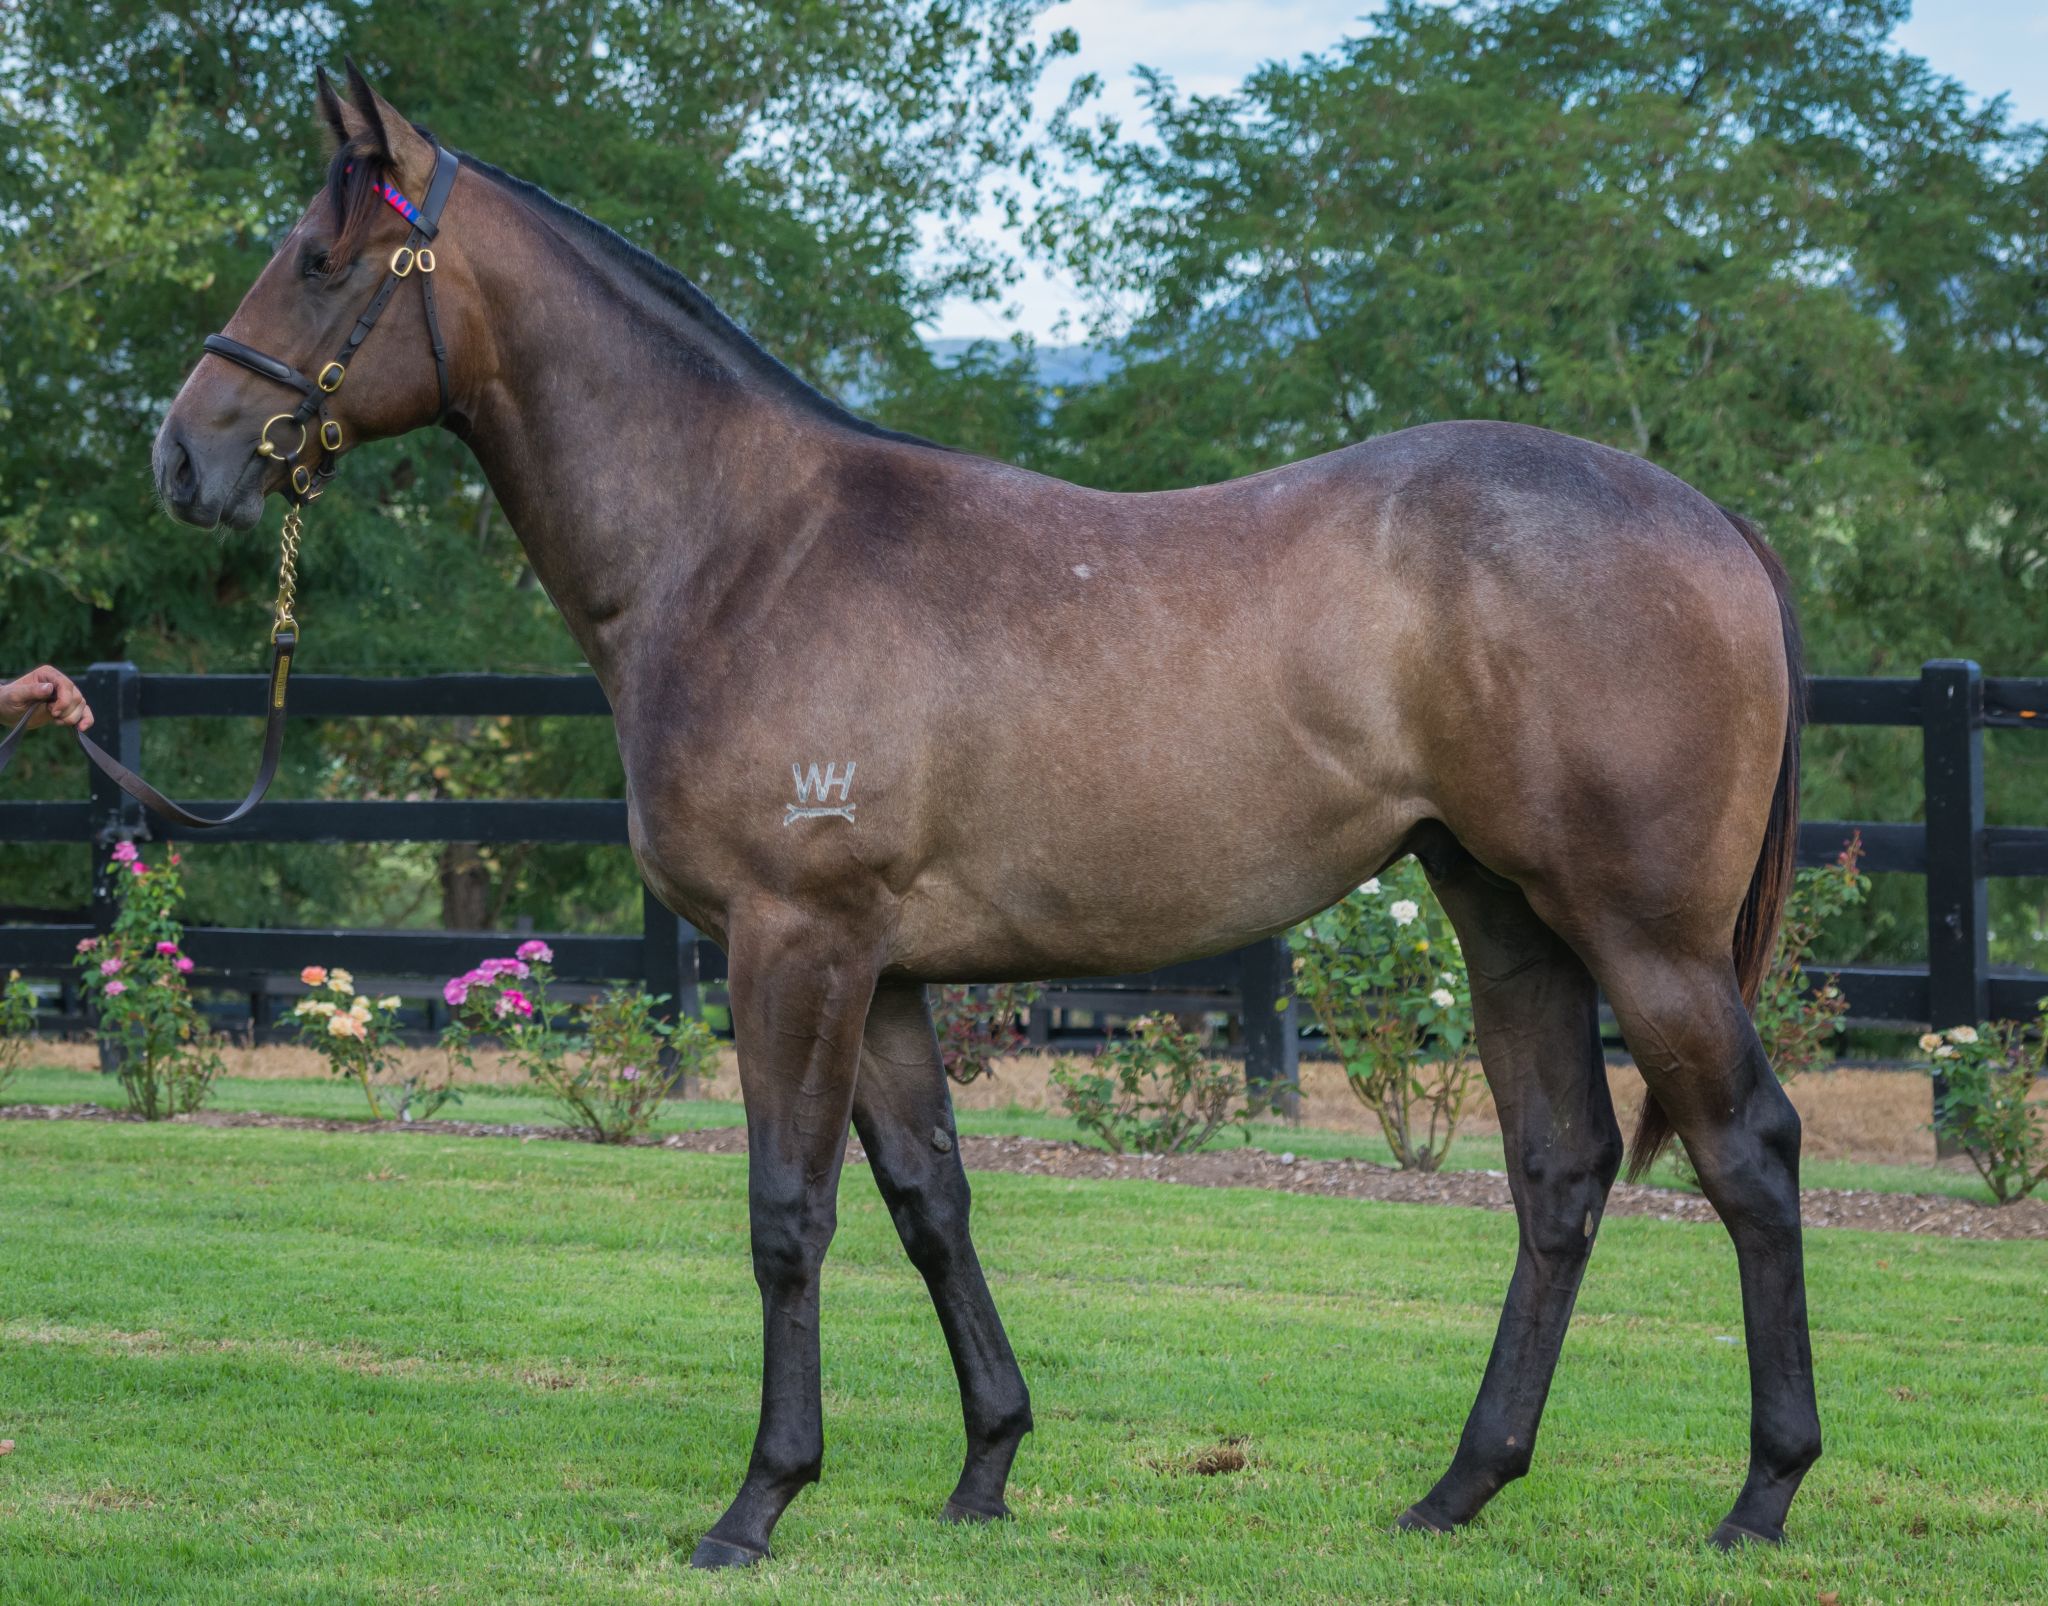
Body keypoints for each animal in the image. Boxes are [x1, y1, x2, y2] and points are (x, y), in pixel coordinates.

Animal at [153, 65, 1818, 1567]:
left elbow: (787, 1212)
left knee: (1748, 1147)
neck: (741, 549)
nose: (185, 453)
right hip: (1506, 916)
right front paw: (987, 1465)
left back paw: (1761, 1494)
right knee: (1561, 1171)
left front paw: (758, 1501)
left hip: (1641, 934)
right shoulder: (883, 972)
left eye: (319, 260)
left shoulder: (795, 943)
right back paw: (1461, 1487)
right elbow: (927, 1201)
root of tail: (1718, 525)